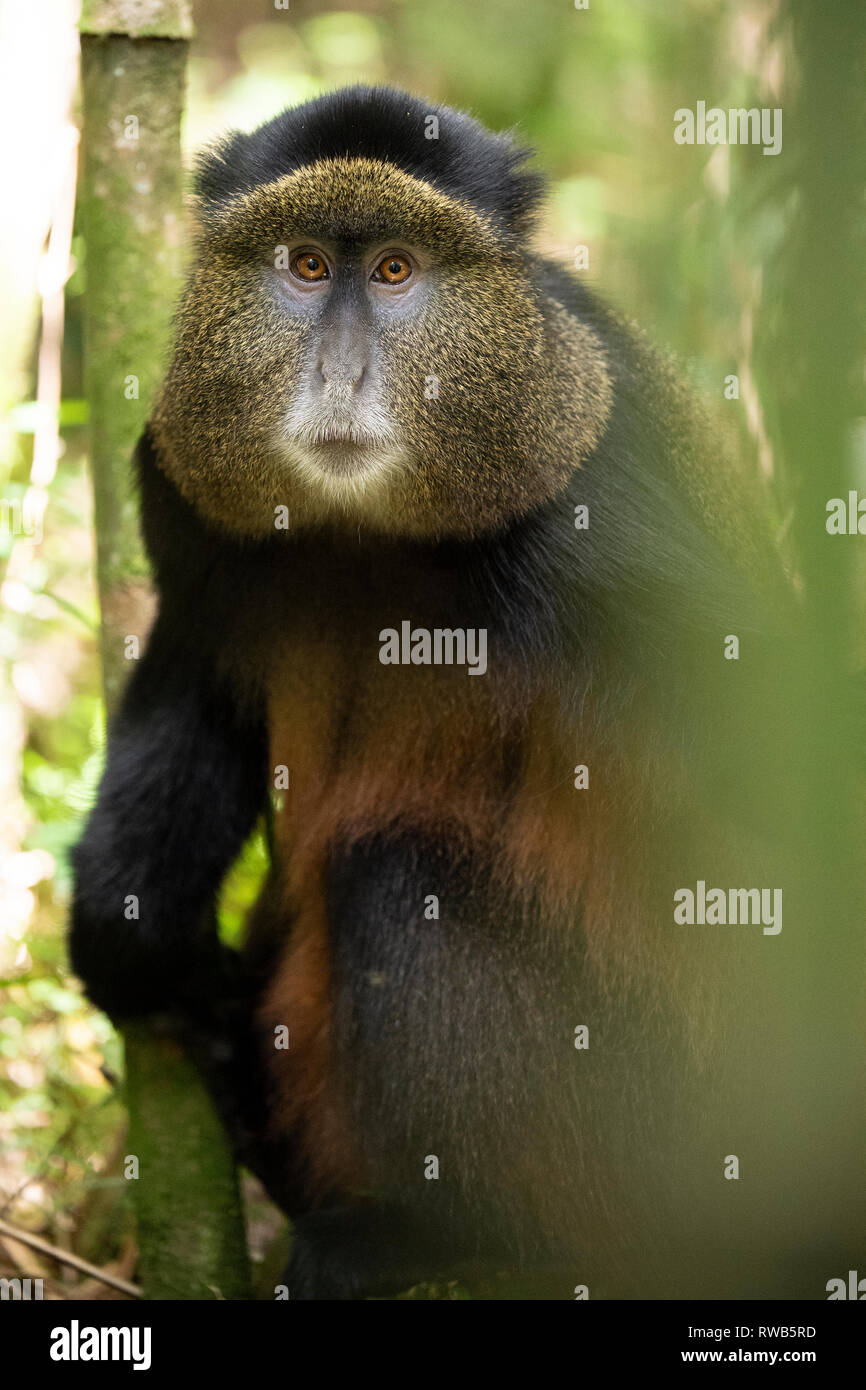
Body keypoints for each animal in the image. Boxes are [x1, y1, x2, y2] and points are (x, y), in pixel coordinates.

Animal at [70, 85, 811, 1300]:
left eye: (397, 271)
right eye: (306, 264)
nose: (340, 377)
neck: (369, 527)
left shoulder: (612, 524)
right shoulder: (181, 485)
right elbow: (196, 688)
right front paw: (135, 945)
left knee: (396, 872)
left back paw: (437, 1233)